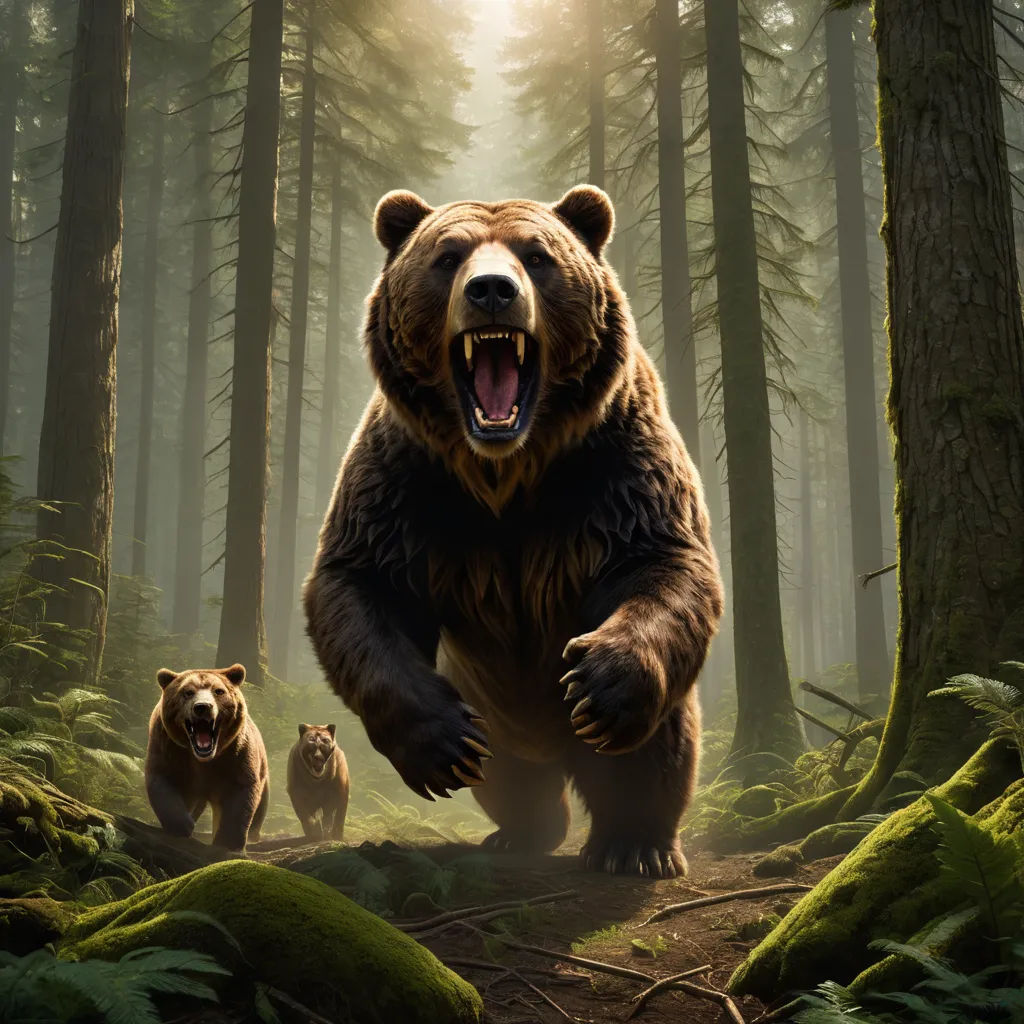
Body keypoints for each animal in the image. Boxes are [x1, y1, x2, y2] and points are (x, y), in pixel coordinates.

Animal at [145, 663, 269, 852]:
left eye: (218, 691)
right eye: (188, 692)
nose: (202, 706)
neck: (203, 759)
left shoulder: (236, 756)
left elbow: (241, 794)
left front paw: (228, 841)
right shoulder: (169, 748)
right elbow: (162, 780)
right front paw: (183, 825)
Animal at [303, 185, 724, 877]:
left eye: (537, 254)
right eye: (448, 256)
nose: (493, 290)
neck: (506, 471)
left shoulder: (616, 467)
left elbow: (662, 564)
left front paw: (597, 682)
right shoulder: (405, 481)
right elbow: (359, 586)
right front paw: (439, 743)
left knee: (654, 750)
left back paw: (636, 842)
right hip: (495, 716)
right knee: (508, 780)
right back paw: (520, 830)